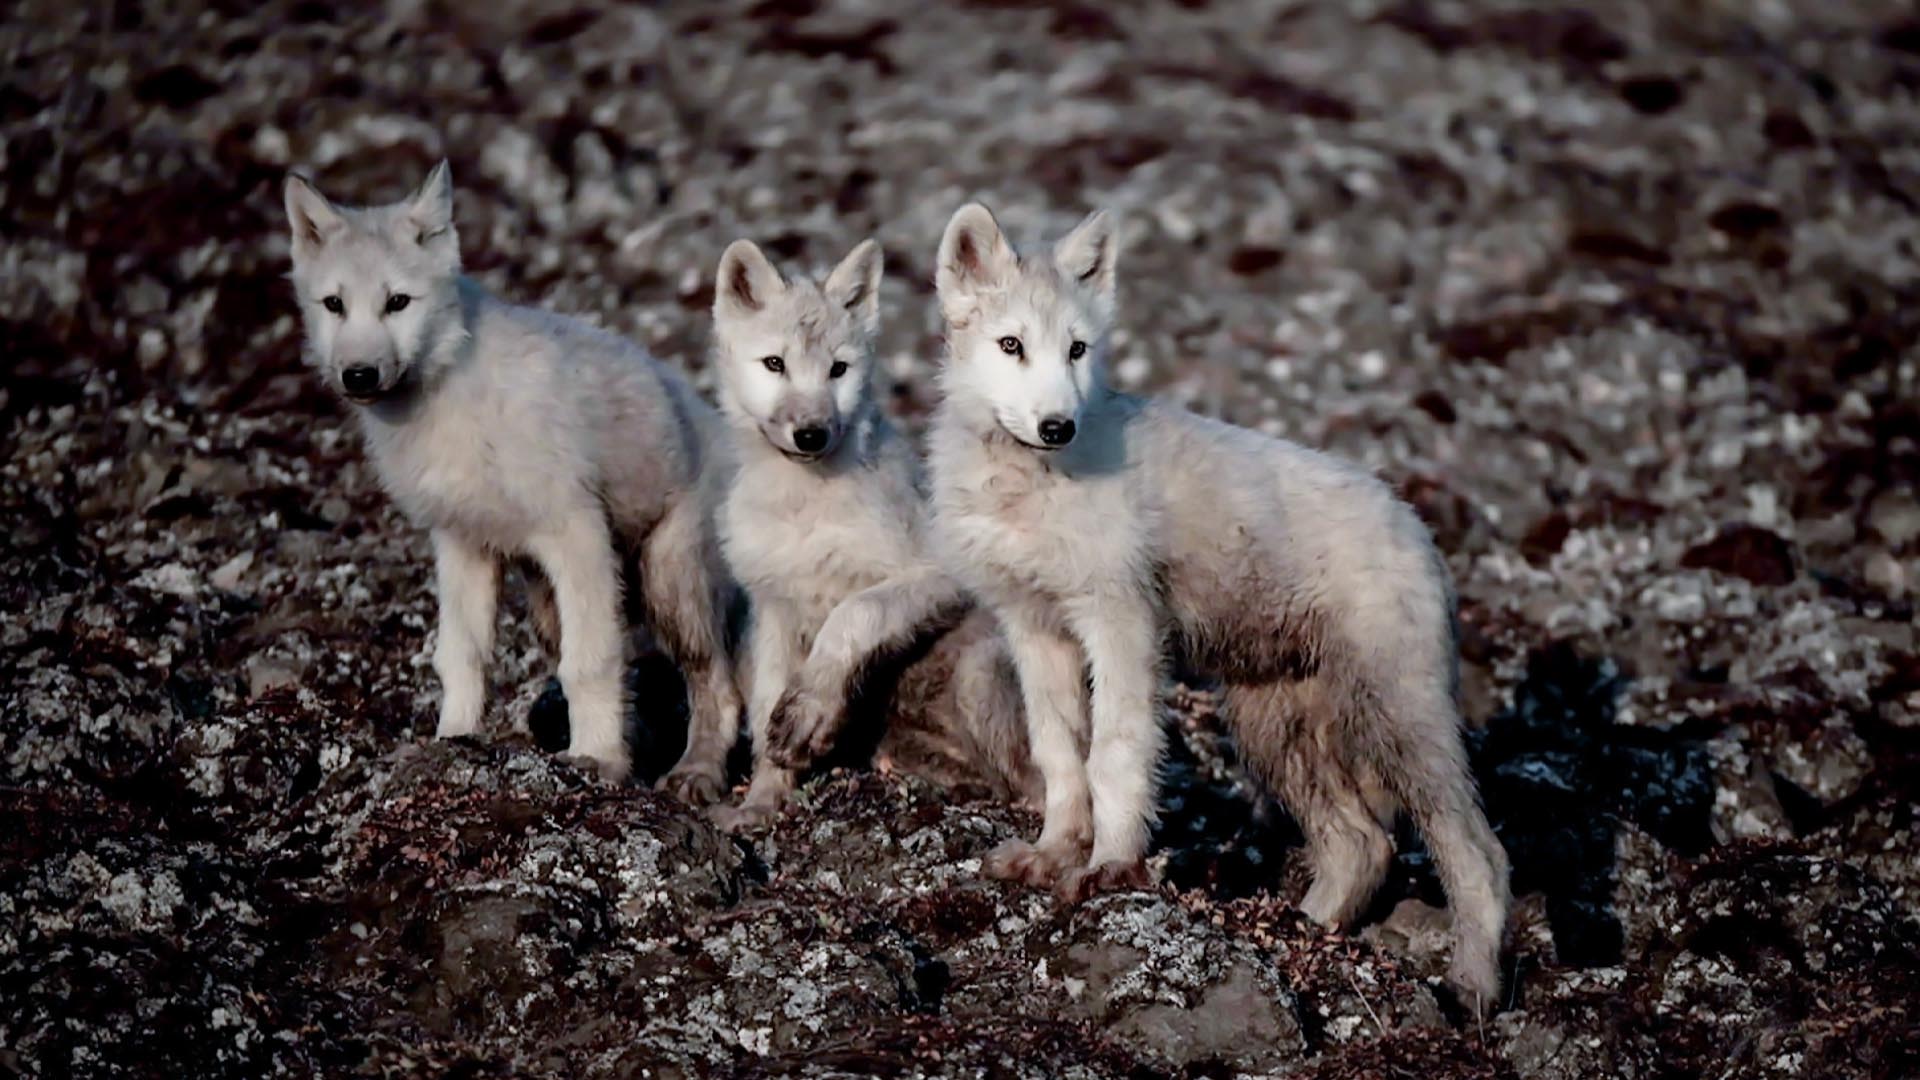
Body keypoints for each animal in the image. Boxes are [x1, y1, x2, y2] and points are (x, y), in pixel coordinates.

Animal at [282, 161, 742, 798]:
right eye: (334, 304)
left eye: (398, 302)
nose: (359, 375)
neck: (448, 393)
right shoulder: (463, 546)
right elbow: (462, 656)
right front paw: (452, 740)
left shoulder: (577, 533)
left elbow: (590, 664)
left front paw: (597, 761)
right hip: (553, 602)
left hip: (669, 587)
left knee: (717, 686)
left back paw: (693, 772)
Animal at [703, 236, 1038, 830]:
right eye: (774, 364)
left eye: (839, 370)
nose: (811, 435)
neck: (805, 511)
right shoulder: (773, 610)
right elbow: (767, 715)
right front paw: (761, 802)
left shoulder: (931, 575)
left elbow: (854, 615)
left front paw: (810, 711)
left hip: (980, 673)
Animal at [923, 203, 1511, 1007]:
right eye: (1010, 345)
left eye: (1078, 350)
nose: (1056, 427)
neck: (1026, 484)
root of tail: (1417, 526)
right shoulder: (1035, 629)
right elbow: (1059, 757)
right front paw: (1052, 855)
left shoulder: (1121, 624)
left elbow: (1115, 755)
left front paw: (1108, 869)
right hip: (1274, 729)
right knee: (1361, 845)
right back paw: (1303, 933)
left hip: (1395, 719)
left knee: (1477, 853)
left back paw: (1473, 986)